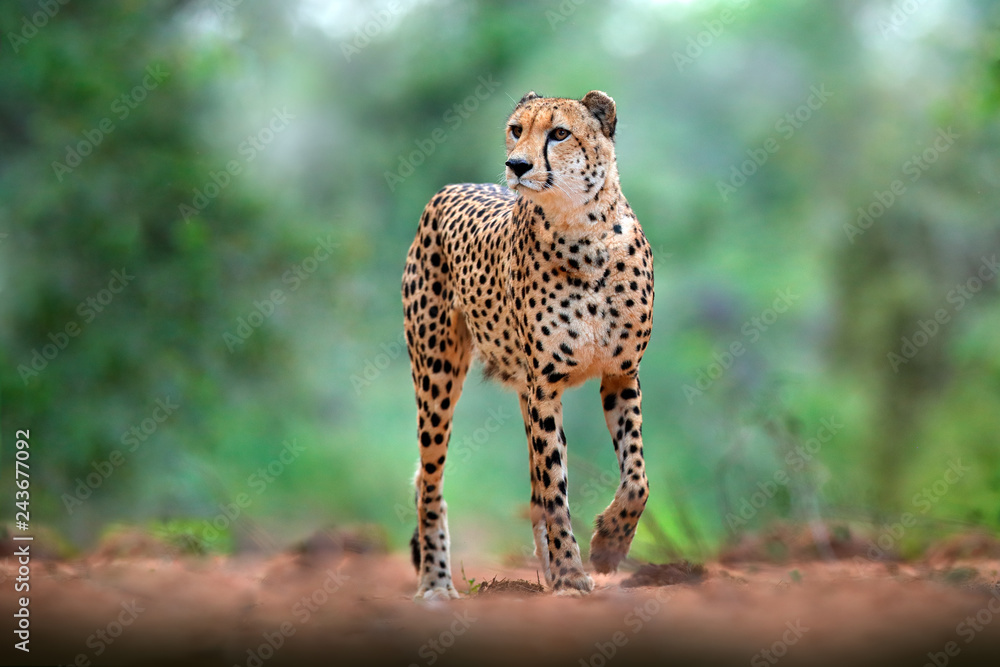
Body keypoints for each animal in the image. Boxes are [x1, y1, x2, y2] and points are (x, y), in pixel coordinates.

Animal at [402, 90, 653, 599]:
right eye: (516, 129)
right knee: (430, 482)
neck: (583, 232)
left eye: (559, 133)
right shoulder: (546, 386)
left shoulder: (621, 374)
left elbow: (637, 477)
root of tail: (449, 188)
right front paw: (573, 575)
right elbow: (557, 489)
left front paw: (608, 547)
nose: (516, 164)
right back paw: (436, 584)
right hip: (437, 376)